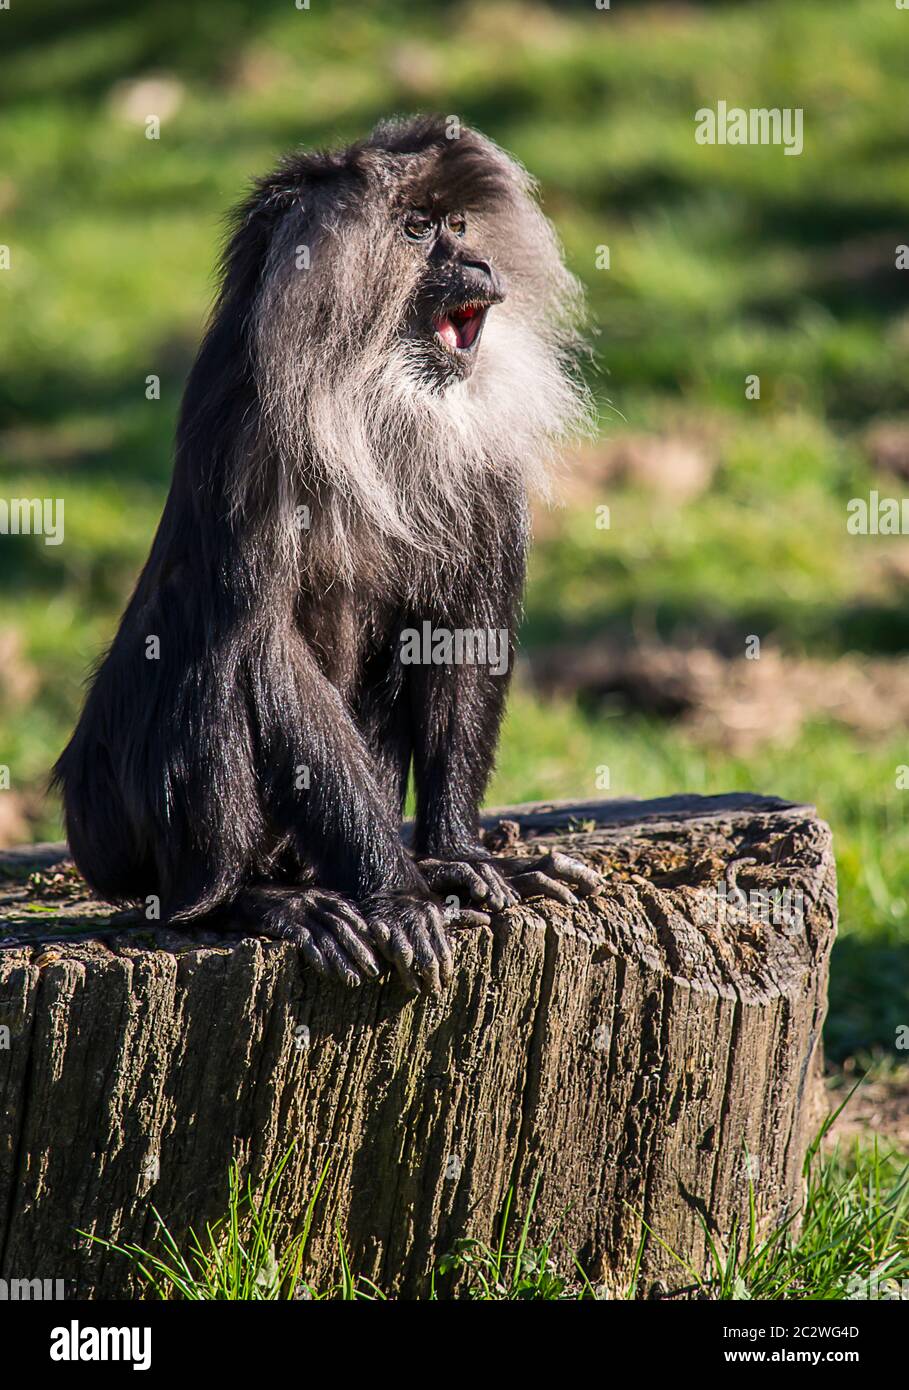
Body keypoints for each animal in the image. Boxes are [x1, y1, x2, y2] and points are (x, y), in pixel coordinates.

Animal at [53, 115, 599, 995]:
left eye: (459, 225)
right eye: (415, 231)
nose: (477, 265)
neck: (369, 393)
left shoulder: (480, 459)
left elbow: (459, 630)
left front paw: (456, 857)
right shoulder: (256, 437)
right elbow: (268, 648)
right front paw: (397, 894)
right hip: (112, 826)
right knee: (213, 653)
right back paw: (252, 902)